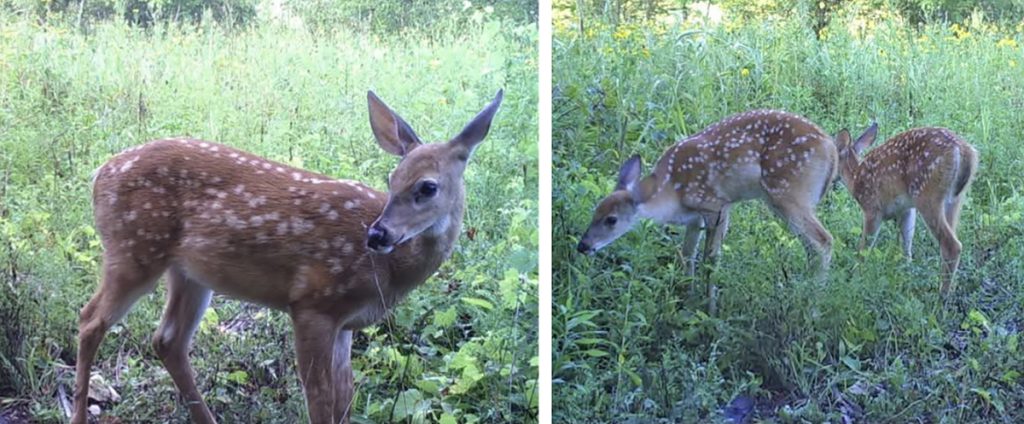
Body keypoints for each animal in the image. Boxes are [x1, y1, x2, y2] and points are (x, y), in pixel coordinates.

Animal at [71, 89, 503, 424]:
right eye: (391, 180)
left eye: (427, 187)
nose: (378, 234)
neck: (388, 272)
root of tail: (98, 175)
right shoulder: (312, 302)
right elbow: (321, 398)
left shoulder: (346, 323)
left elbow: (345, 397)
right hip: (135, 250)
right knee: (91, 319)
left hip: (188, 273)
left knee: (167, 340)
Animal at [576, 110, 838, 315]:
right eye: (594, 212)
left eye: (611, 220)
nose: (583, 246)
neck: (672, 190)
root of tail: (832, 148)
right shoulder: (694, 218)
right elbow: (687, 254)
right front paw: (688, 299)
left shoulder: (717, 205)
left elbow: (710, 259)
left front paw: (710, 310)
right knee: (811, 247)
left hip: (788, 194)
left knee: (823, 240)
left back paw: (811, 309)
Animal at [835, 124, 977, 294]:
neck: (855, 179)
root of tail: (964, 151)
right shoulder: (906, 209)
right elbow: (906, 243)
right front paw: (906, 274)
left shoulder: (872, 208)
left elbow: (865, 247)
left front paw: (856, 279)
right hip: (955, 199)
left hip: (927, 196)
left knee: (952, 245)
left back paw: (942, 295)